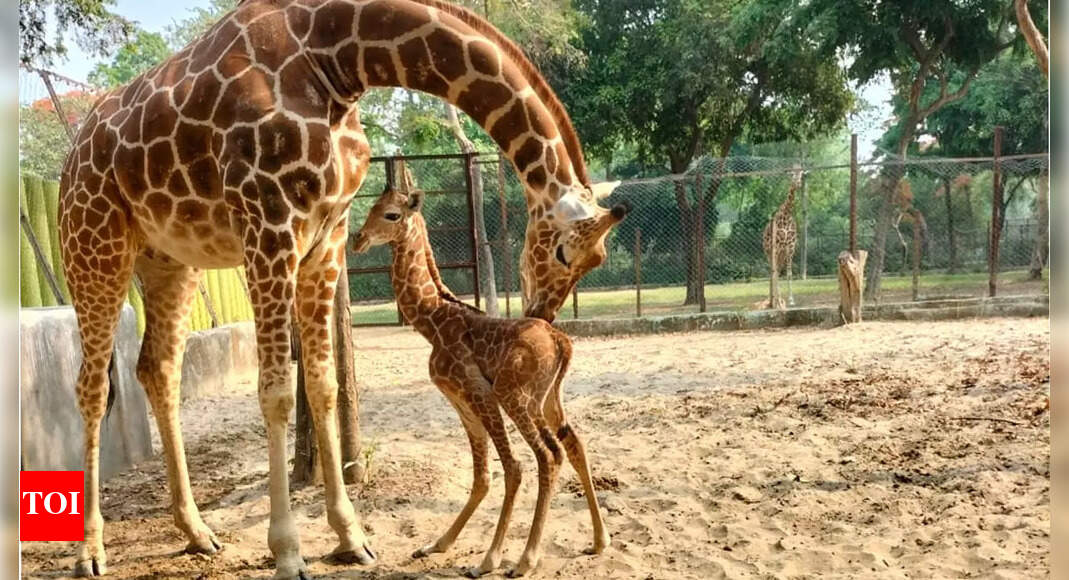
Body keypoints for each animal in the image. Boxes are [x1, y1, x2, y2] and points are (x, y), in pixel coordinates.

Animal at [352, 184, 618, 577]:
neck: (431, 320)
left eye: (391, 214)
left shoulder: (479, 392)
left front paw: (488, 559)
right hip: (548, 399)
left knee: (547, 454)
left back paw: (525, 560)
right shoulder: (460, 400)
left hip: (515, 396)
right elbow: (481, 475)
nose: (358, 238)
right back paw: (600, 540)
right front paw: (437, 544)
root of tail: (562, 343)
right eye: (372, 207)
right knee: (573, 444)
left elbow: (511, 467)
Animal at [761, 167, 802, 308]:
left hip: (781, 255)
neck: (787, 215)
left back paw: (774, 300)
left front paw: (791, 300)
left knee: (777, 271)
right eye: (792, 175)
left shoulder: (790, 247)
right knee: (773, 272)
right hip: (769, 252)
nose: (798, 183)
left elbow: (789, 274)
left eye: (802, 174)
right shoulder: (777, 247)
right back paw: (773, 301)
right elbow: (775, 275)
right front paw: (778, 302)